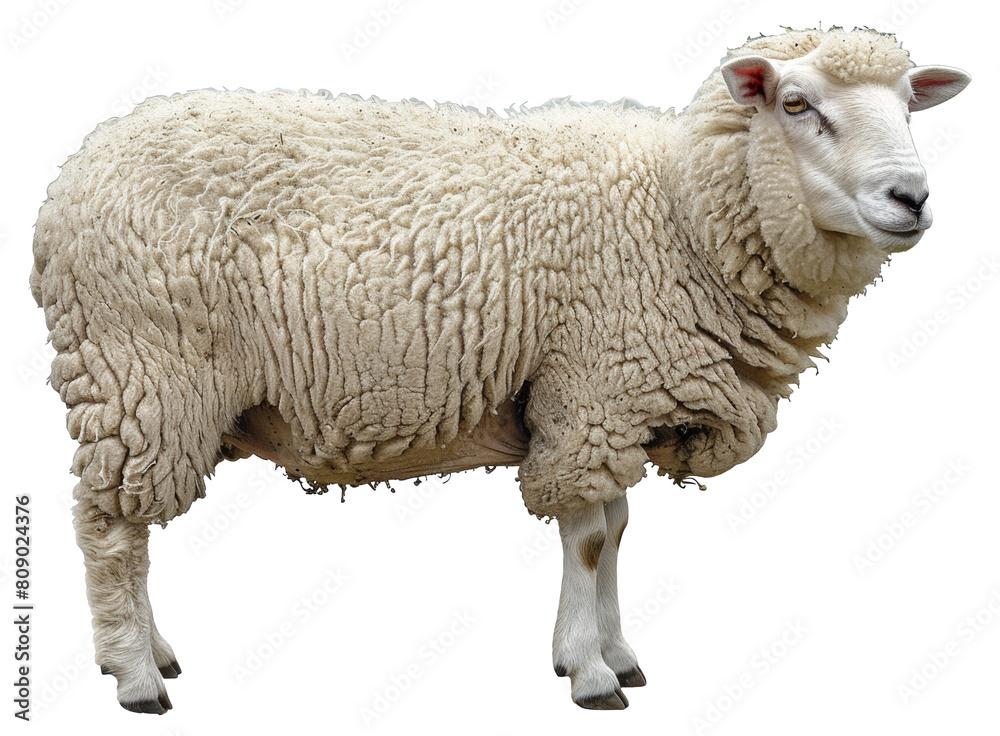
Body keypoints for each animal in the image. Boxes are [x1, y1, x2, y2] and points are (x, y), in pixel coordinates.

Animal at [29, 27, 969, 713]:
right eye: (798, 104)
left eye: (909, 106)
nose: (912, 199)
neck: (680, 213)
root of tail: (69, 182)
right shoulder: (590, 390)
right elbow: (587, 537)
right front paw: (590, 673)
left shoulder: (605, 401)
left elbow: (616, 529)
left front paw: (617, 653)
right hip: (144, 374)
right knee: (112, 530)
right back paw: (135, 677)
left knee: (121, 525)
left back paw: (154, 654)